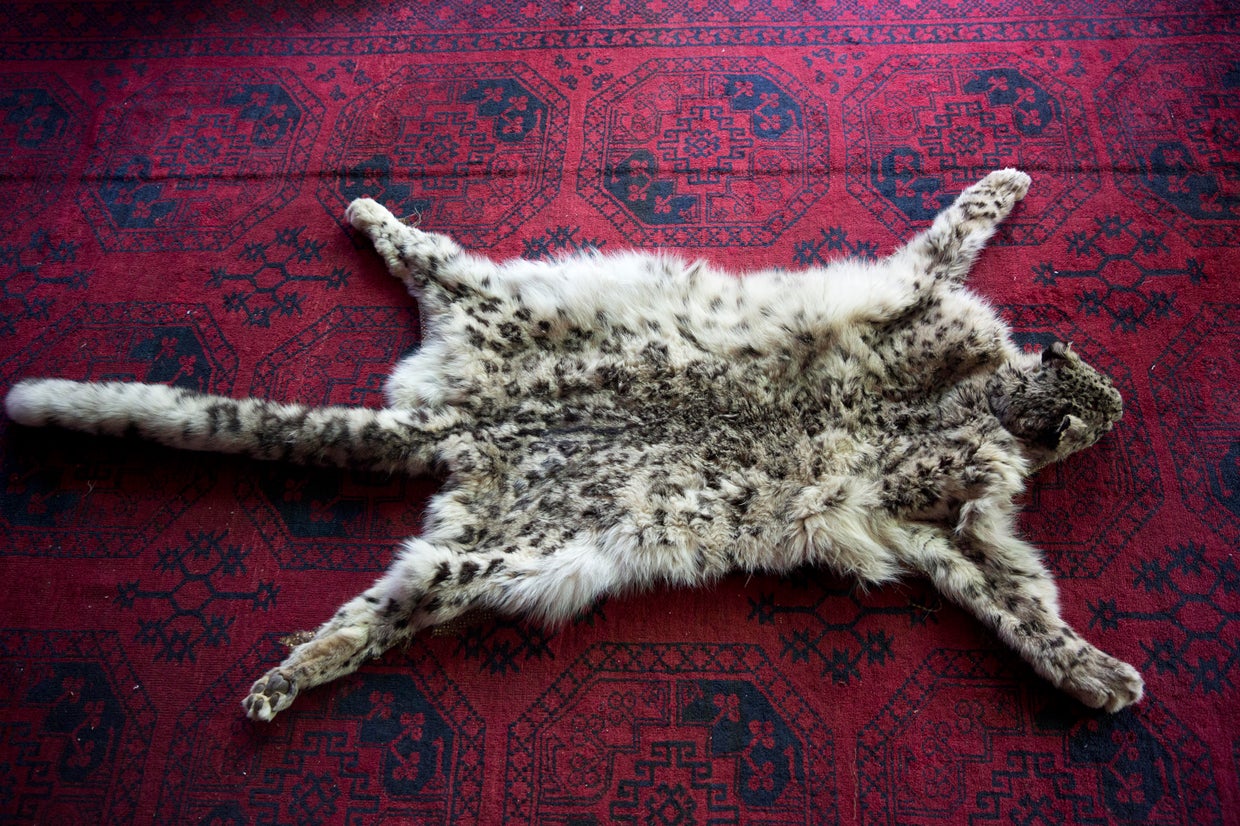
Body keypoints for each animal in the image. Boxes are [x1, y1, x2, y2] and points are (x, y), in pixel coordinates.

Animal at [4, 169, 1144, 721]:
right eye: (1091, 392)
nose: (1116, 402)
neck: (976, 407)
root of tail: (465, 424)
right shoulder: (915, 305)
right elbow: (948, 238)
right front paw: (1003, 182)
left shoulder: (942, 524)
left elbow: (1012, 599)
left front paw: (1088, 672)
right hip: (491, 334)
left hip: (480, 535)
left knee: (385, 596)